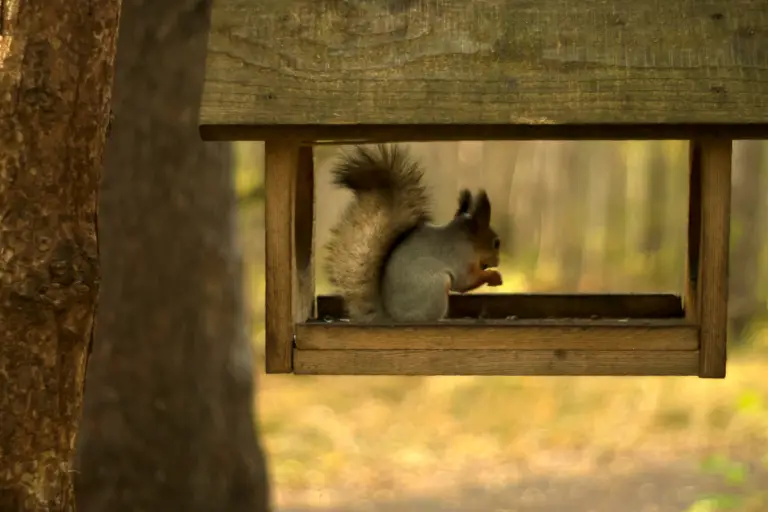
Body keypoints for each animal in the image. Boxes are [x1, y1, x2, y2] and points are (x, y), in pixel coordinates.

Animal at [324, 143, 503, 323]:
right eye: (496, 243)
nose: (497, 262)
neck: (467, 239)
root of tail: (391, 319)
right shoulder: (460, 256)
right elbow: (464, 282)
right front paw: (494, 276)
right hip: (436, 288)